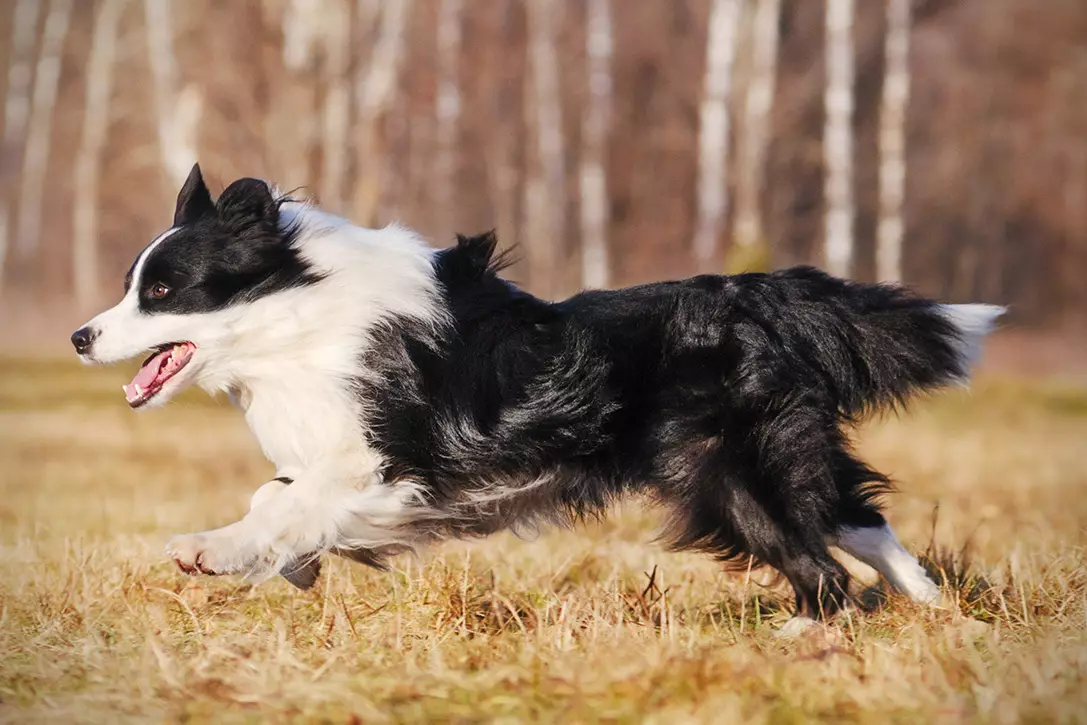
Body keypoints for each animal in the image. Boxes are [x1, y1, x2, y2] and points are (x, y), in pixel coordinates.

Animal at [70, 167, 1000, 630]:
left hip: (730, 475)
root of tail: (754, 294)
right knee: (857, 519)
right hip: (768, 462)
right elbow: (281, 495)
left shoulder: (391, 462)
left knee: (823, 568)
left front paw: (214, 551)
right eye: (131, 285)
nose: (80, 336)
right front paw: (286, 562)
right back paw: (938, 614)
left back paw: (801, 639)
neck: (295, 319)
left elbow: (288, 501)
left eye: (161, 290)